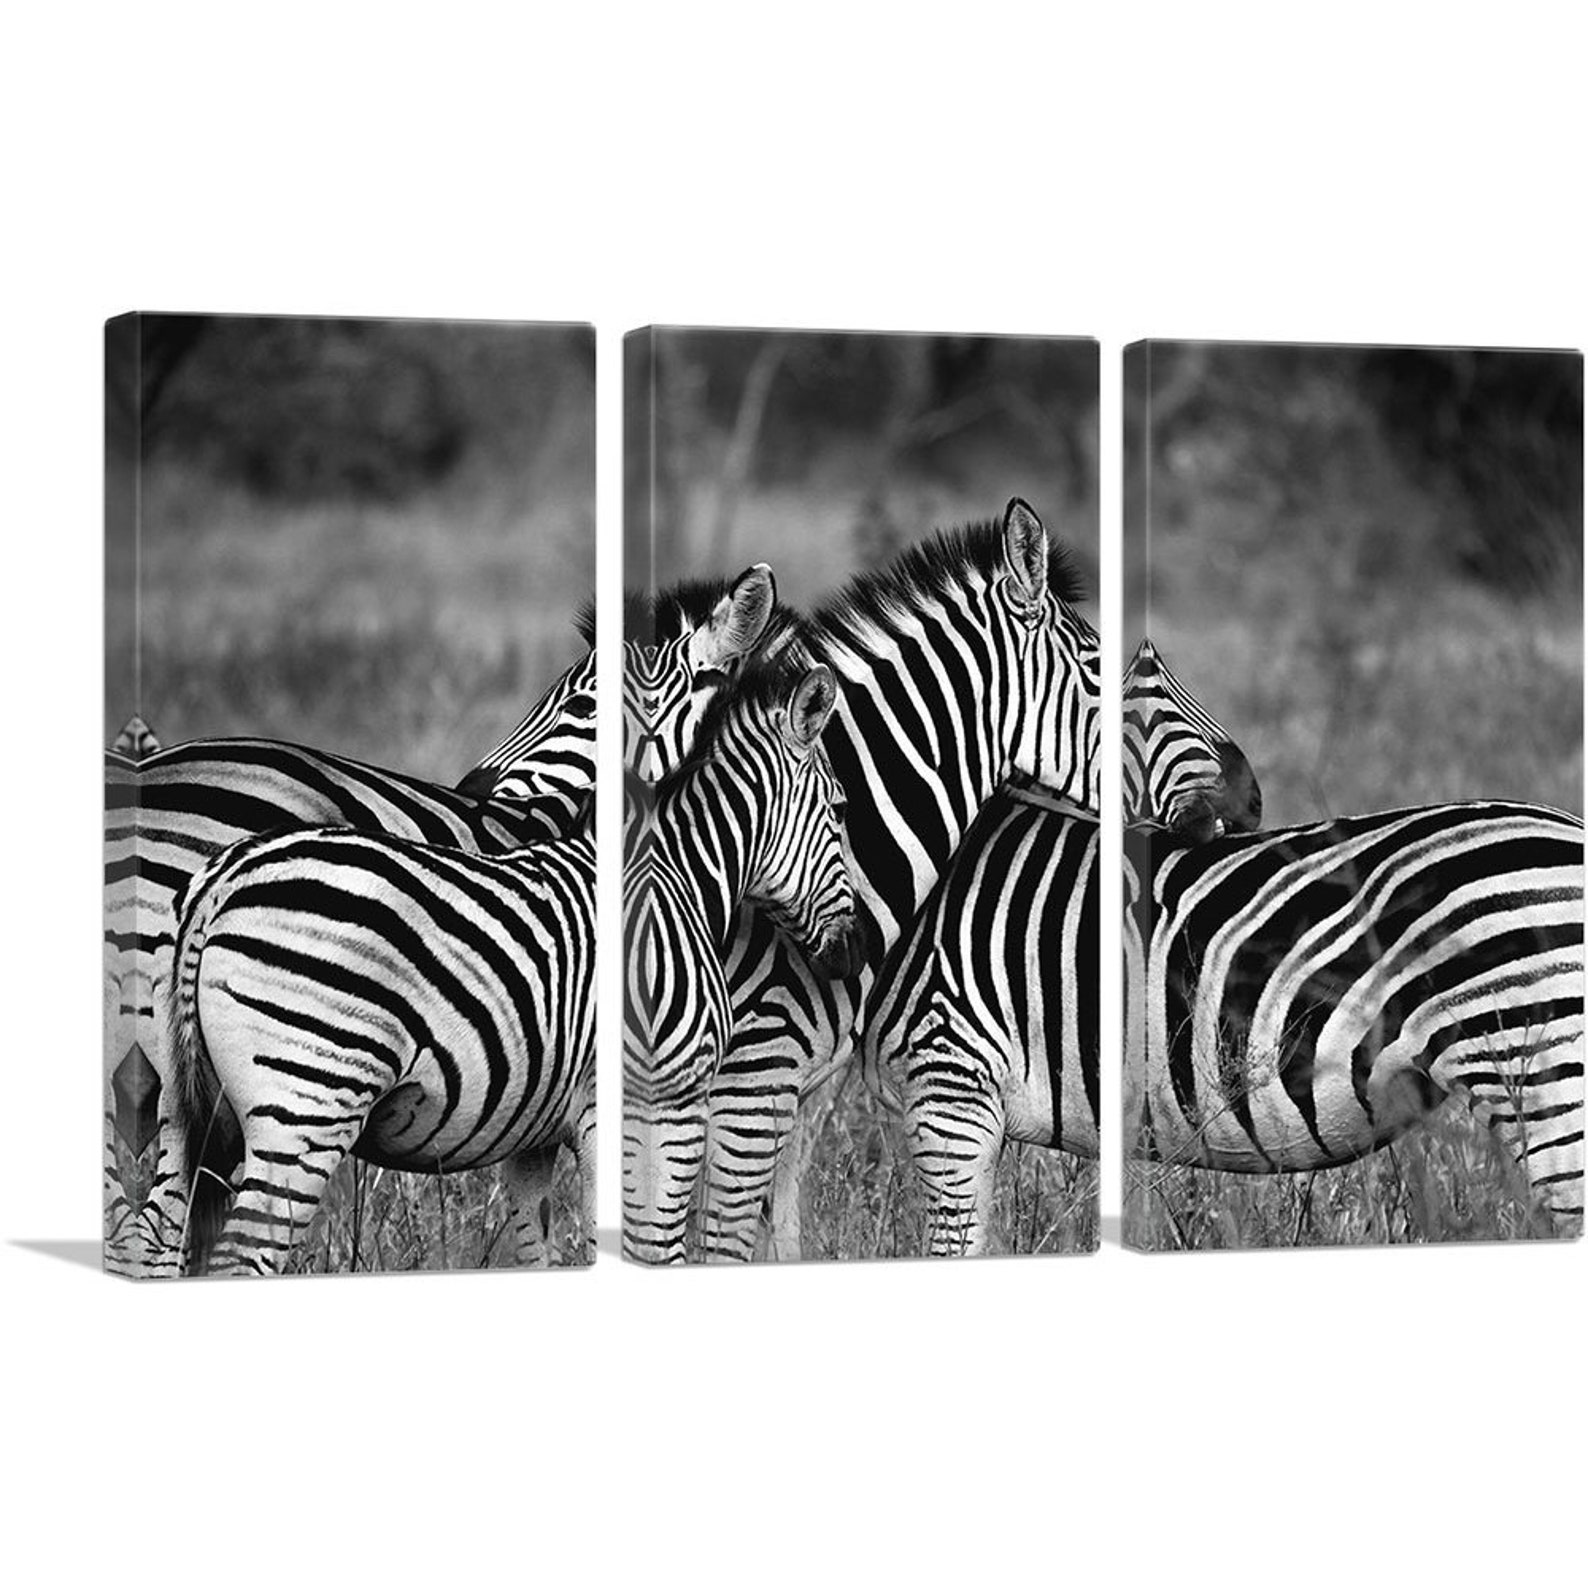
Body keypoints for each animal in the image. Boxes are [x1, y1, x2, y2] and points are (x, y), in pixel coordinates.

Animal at [169, 824, 597, 1275]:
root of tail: (231, 873)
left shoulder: (534, 1137)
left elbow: (537, 1246)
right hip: (304, 1110)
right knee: (237, 1255)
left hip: (185, 1112)